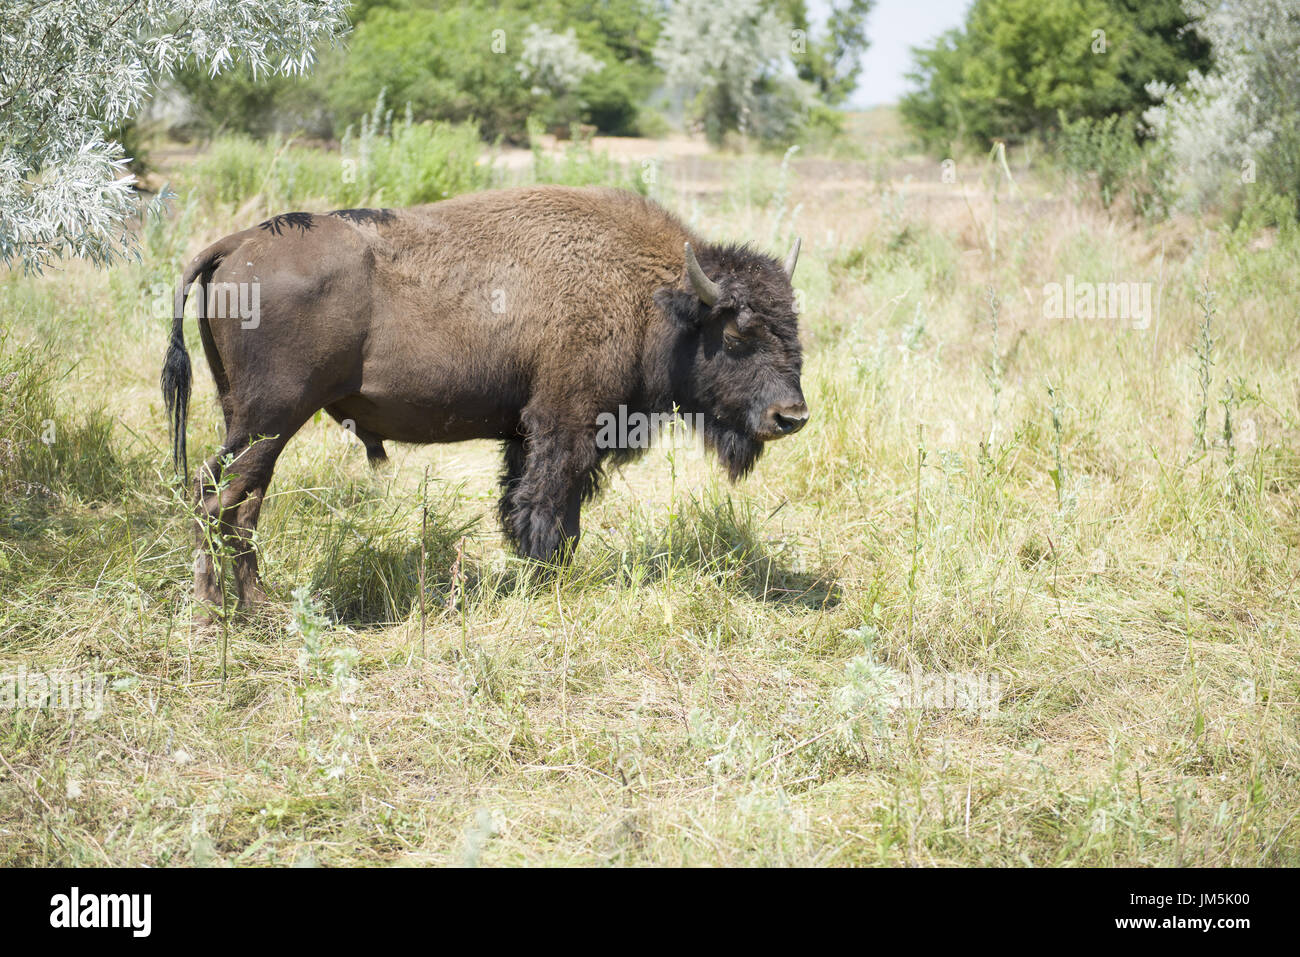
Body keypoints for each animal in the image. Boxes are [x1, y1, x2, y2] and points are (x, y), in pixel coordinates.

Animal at [162, 186, 808, 620]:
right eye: (737, 334)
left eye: (793, 327)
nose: (791, 416)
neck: (651, 295)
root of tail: (238, 243)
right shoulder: (567, 425)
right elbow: (551, 507)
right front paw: (544, 578)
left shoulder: (526, 435)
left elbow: (526, 504)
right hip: (269, 419)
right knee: (212, 496)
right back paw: (213, 614)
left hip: (251, 422)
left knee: (240, 505)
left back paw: (257, 606)